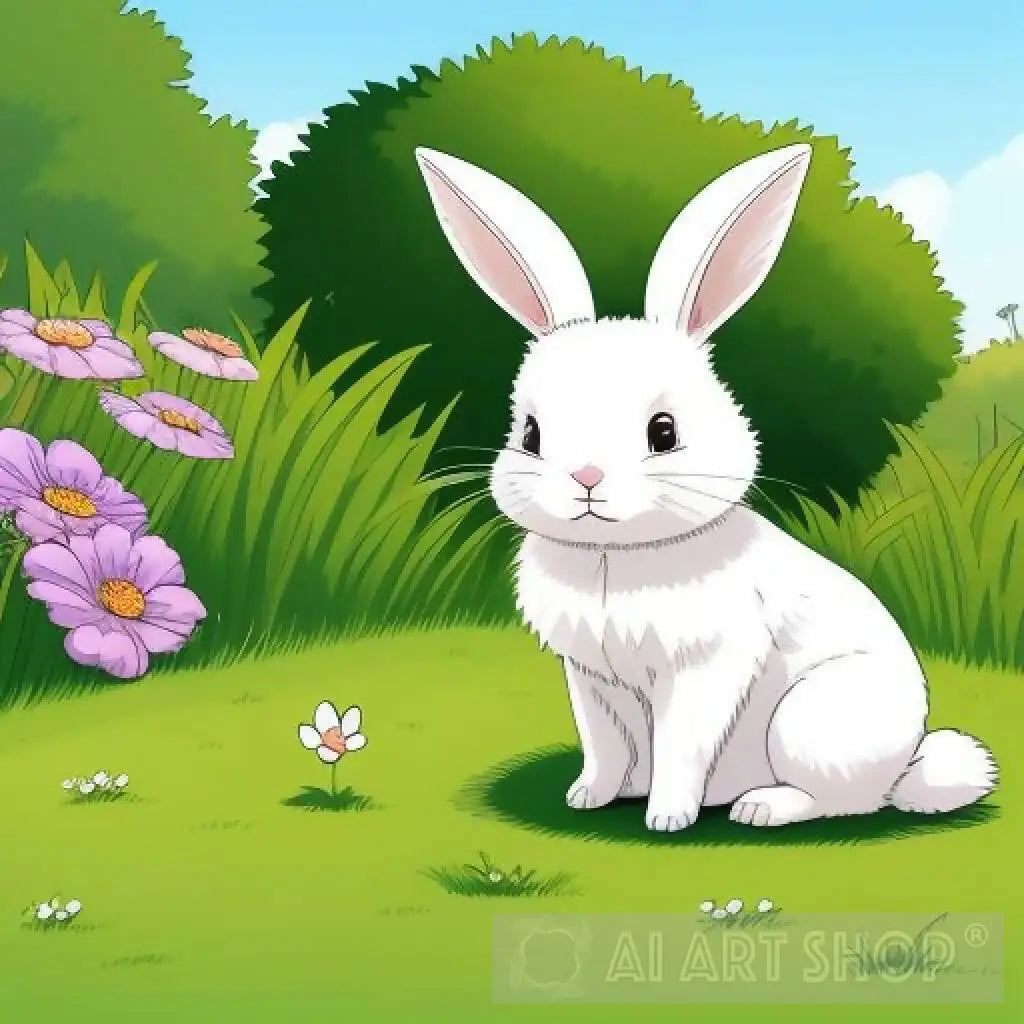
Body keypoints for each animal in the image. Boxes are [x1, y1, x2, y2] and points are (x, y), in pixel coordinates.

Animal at [414, 142, 998, 832]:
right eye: (530, 433)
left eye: (663, 431)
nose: (587, 477)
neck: (615, 555)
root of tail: (906, 768)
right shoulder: (592, 680)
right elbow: (607, 745)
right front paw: (591, 797)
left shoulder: (704, 670)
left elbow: (681, 746)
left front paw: (666, 817)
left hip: (807, 724)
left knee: (842, 802)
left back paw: (760, 807)